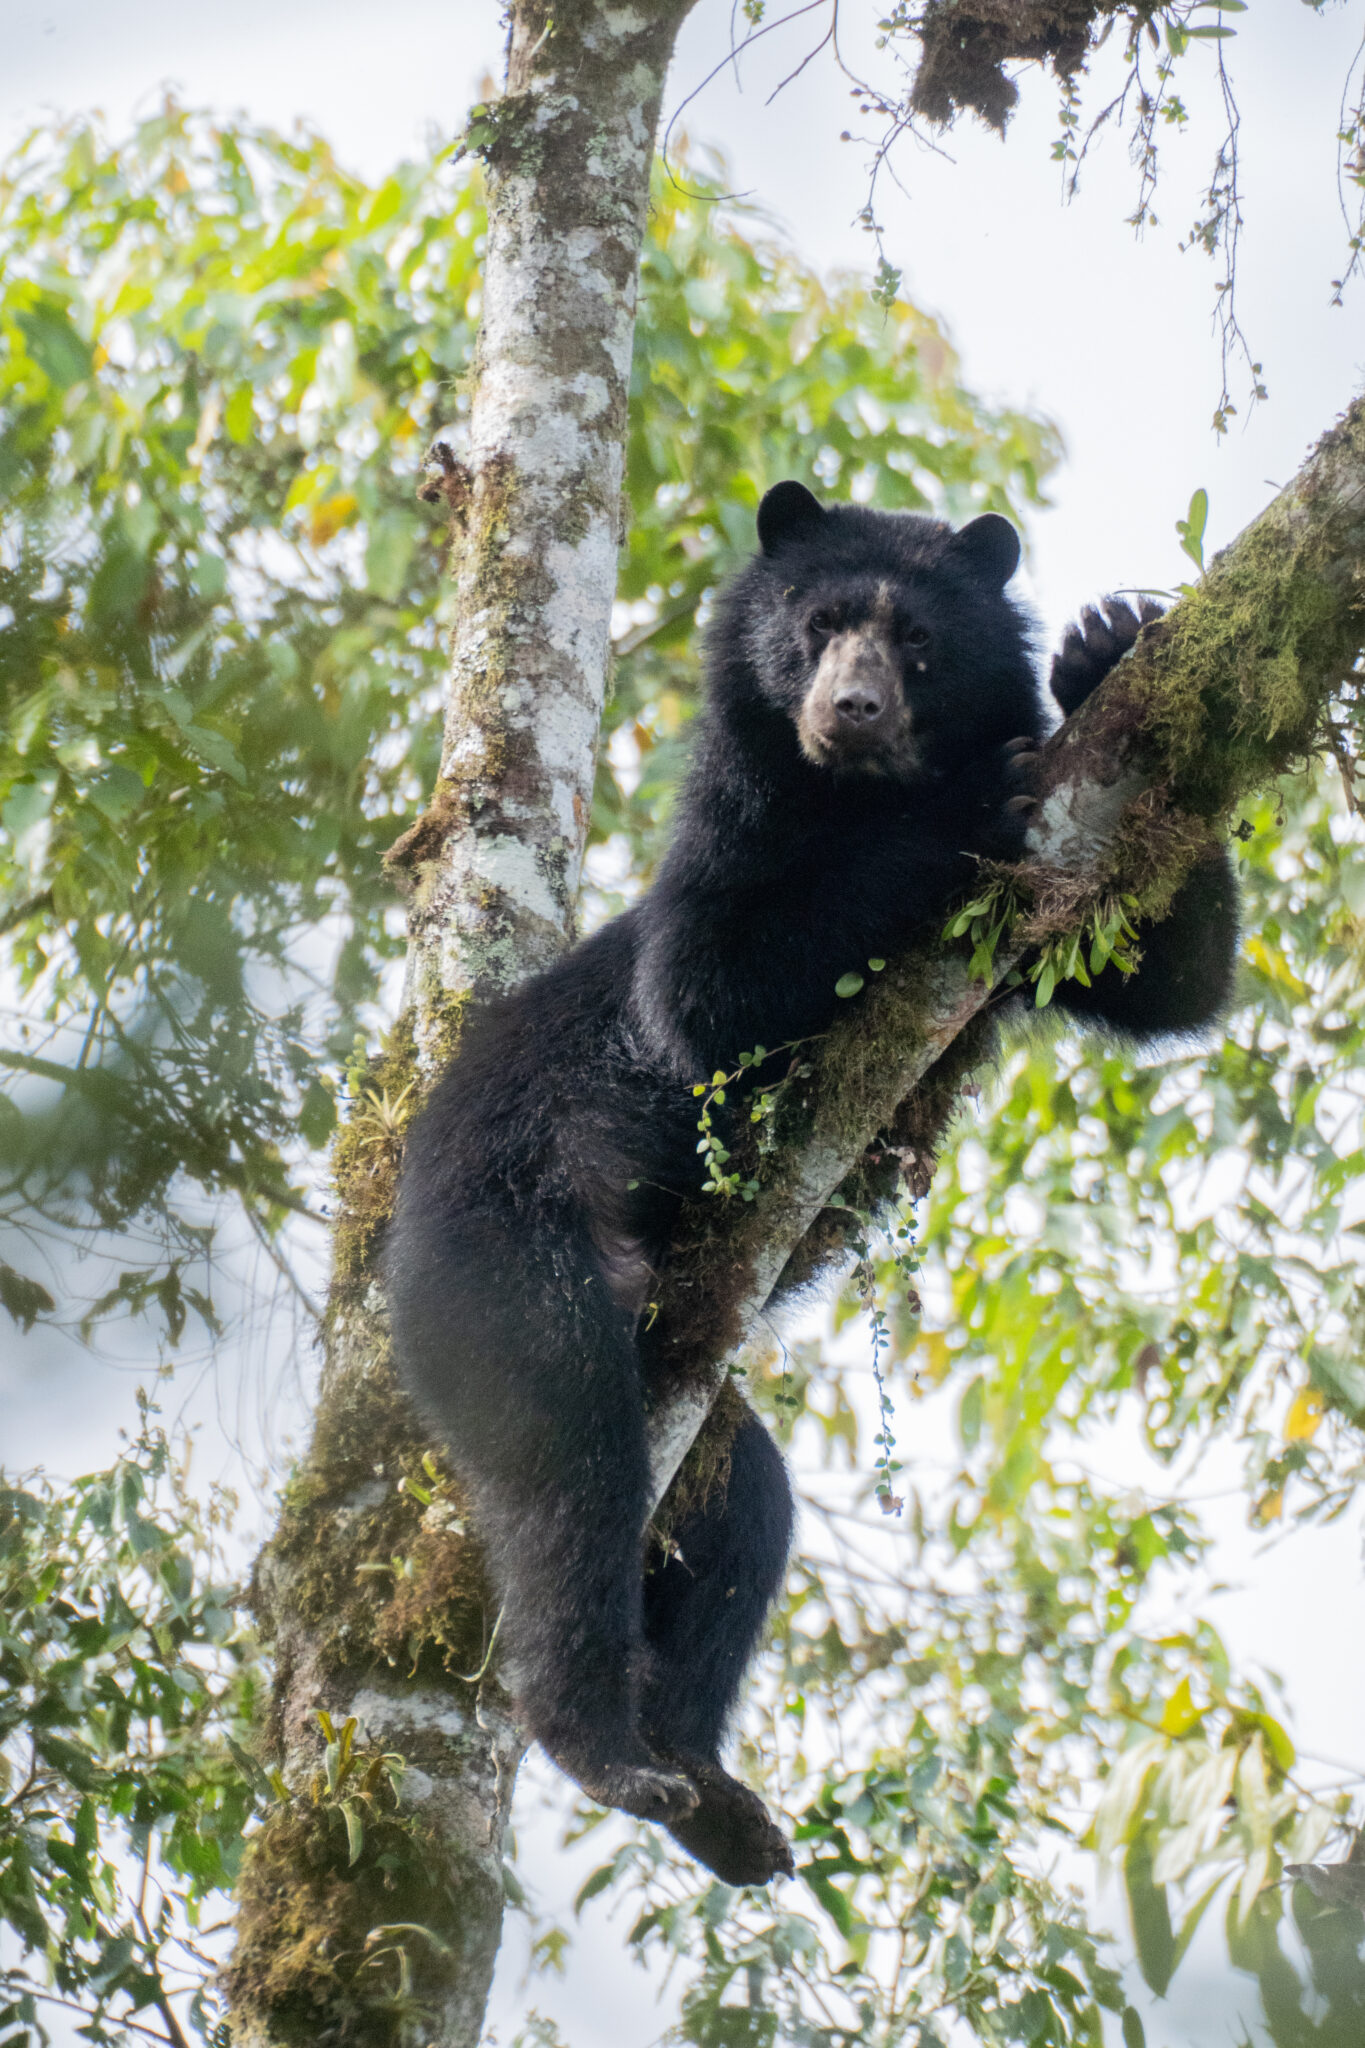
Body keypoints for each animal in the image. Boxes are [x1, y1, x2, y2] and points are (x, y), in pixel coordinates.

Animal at [385, 481, 1238, 1887]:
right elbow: (710, 986)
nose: (852, 710)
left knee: (744, 1513)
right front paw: (979, 801)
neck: (844, 793)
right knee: (570, 1465)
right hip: (505, 1251)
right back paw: (600, 1744)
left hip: (697, 1405)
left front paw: (1105, 641)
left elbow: (1168, 982)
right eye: (819, 625)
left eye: (918, 644)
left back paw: (711, 1790)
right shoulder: (730, 829)